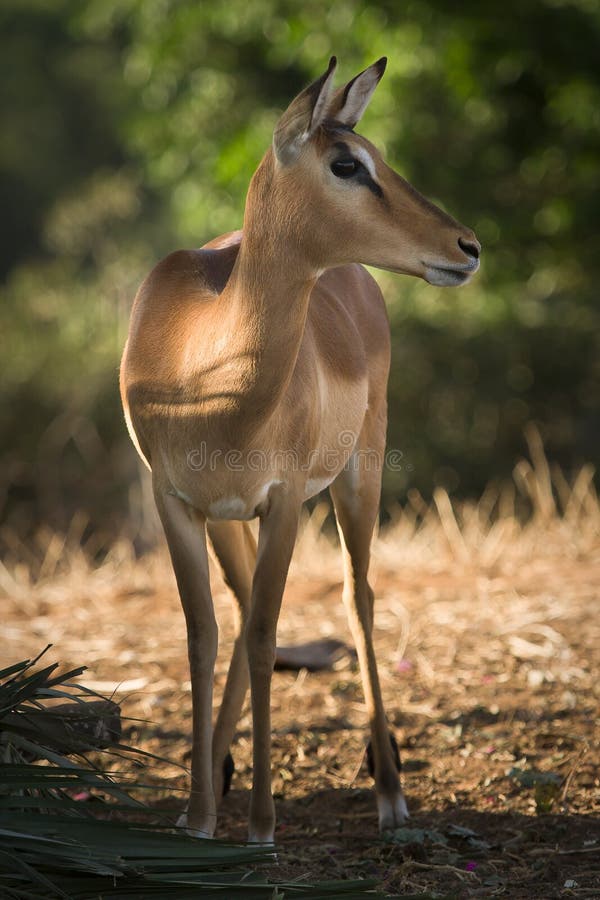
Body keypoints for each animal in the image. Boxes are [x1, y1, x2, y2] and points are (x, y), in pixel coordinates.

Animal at [120, 56, 480, 844]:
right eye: (347, 162)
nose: (467, 247)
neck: (207, 373)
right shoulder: (178, 502)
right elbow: (203, 635)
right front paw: (198, 817)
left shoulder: (282, 502)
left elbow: (263, 635)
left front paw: (261, 825)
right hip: (233, 519)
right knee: (241, 608)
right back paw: (216, 777)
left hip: (357, 475)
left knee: (357, 595)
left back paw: (390, 796)